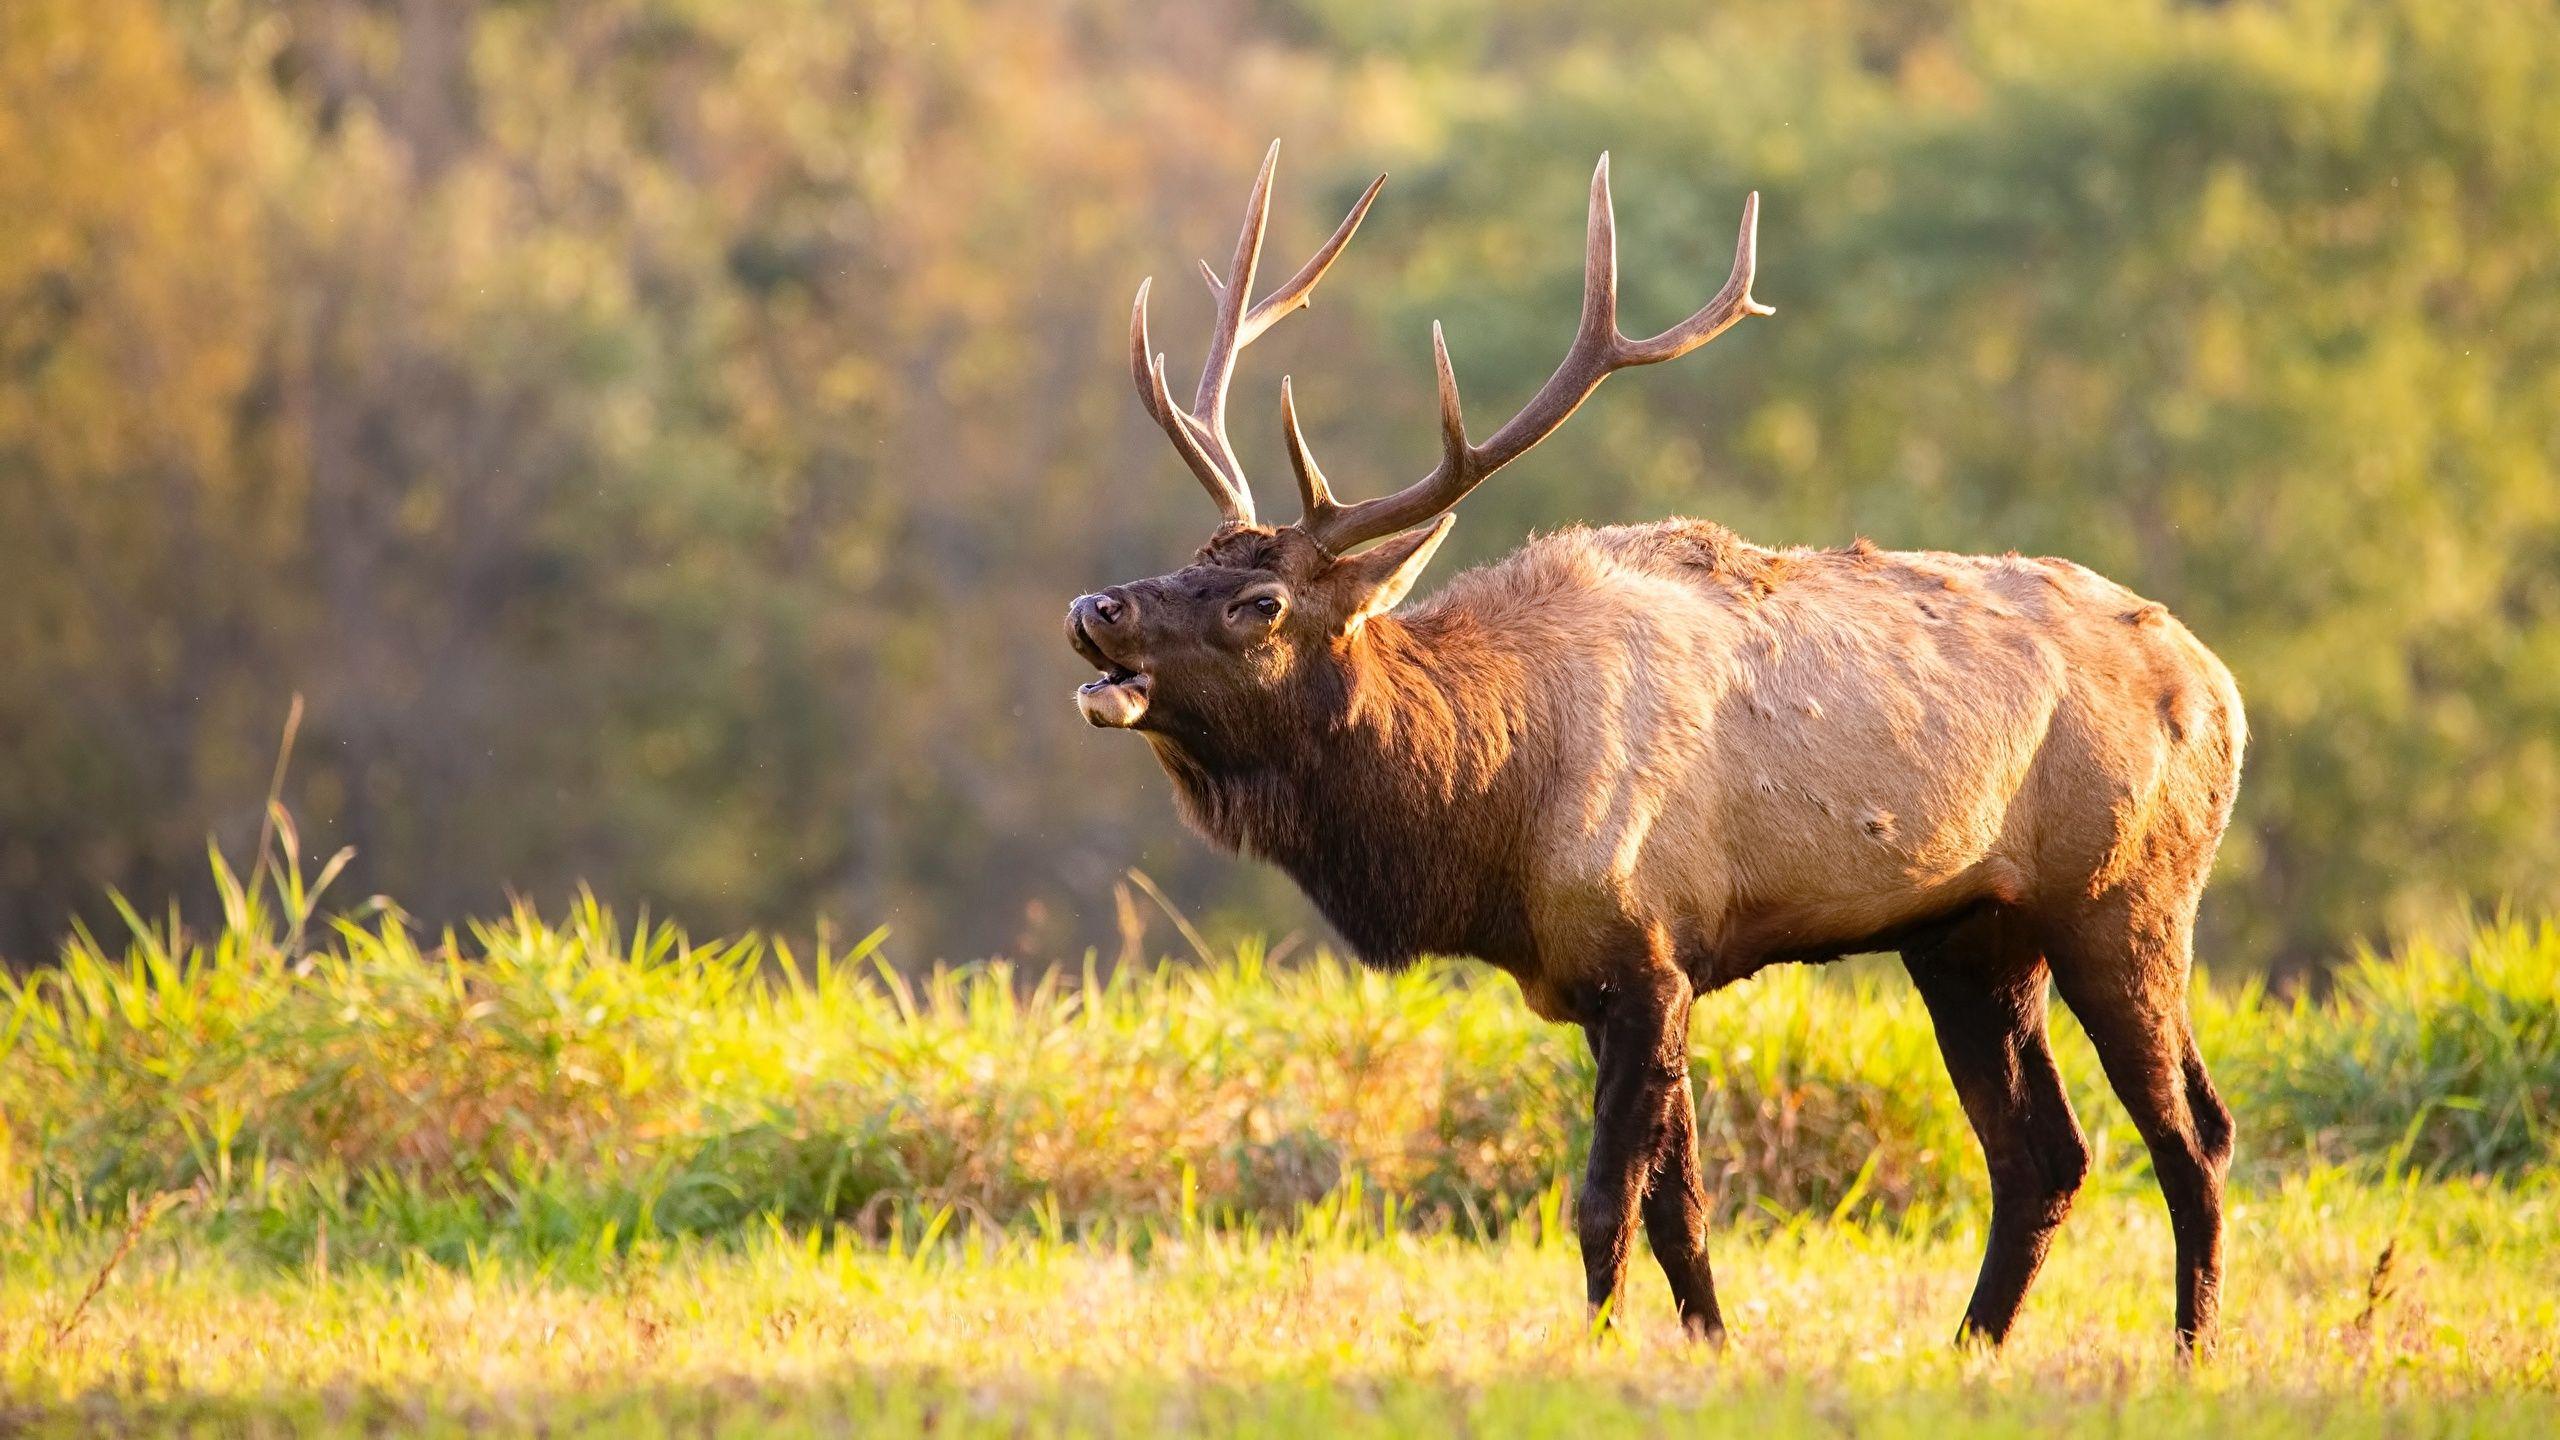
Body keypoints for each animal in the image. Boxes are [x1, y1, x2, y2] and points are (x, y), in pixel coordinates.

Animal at [1066, 143, 2246, 1354]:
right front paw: (1711, 1345)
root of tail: (2220, 687)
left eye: (1258, 603)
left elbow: (1603, 1202)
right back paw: (1971, 1347)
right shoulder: (1609, 980)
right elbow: (1680, 1208)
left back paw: (2189, 1348)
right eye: (1190, 556)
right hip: (1971, 936)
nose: (1096, 608)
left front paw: (1600, 1351)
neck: (1486, 816)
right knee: (2041, 1155)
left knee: (2191, 1133)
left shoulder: (1646, 953)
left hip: (2125, 895)